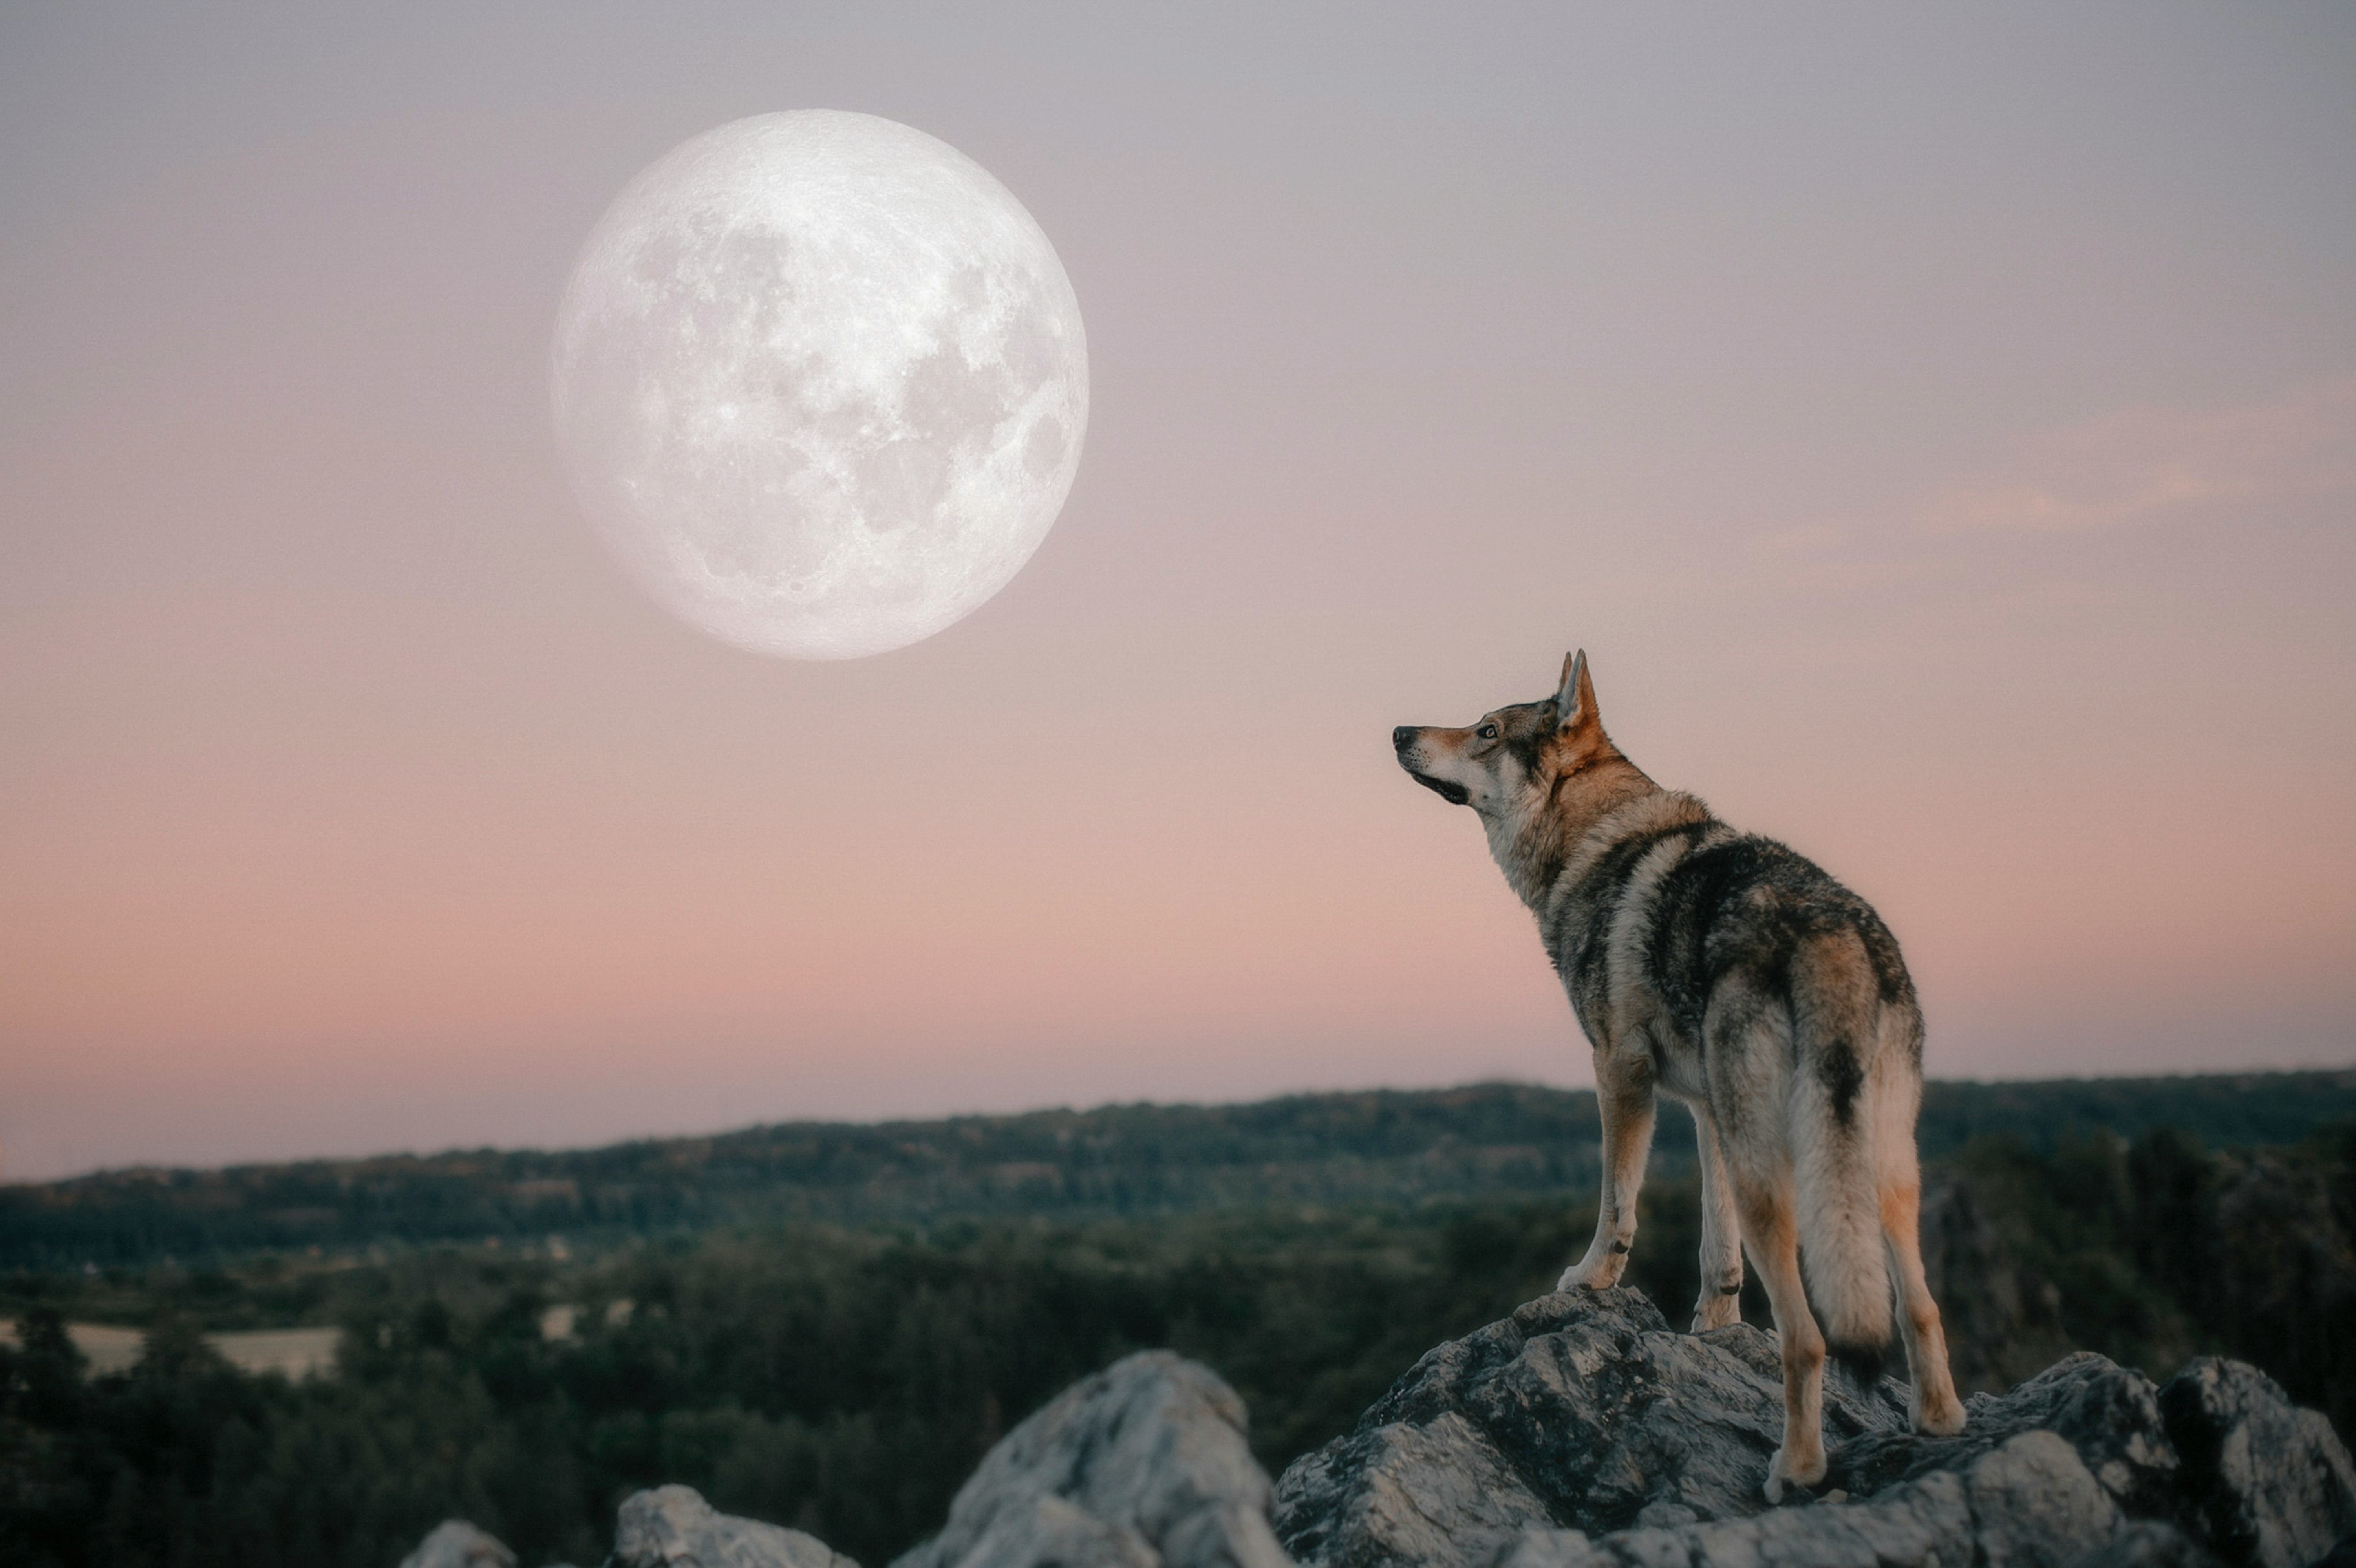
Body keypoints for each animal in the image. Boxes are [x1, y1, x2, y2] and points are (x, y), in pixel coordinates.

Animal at [1392, 651, 1966, 1499]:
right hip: (1885, 1170)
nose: (1400, 731)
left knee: (1808, 1338)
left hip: (1779, 1184)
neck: (1591, 843)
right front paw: (1714, 1327)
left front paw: (1590, 1279)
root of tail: (1827, 931)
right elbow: (1714, 1248)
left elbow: (1617, 1203)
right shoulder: (1706, 1110)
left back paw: (1795, 1468)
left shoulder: (1618, 1071)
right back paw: (1940, 1419)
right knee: (1920, 1308)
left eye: (1487, 729)